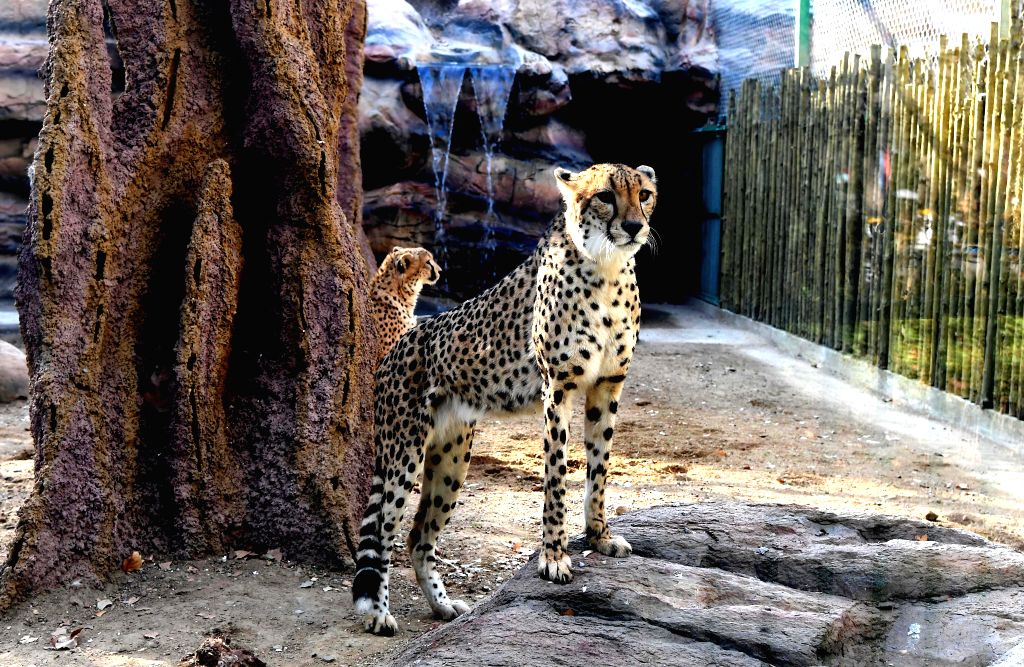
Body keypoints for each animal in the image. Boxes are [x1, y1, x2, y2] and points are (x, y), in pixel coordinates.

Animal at [353, 163, 657, 635]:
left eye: (644, 194)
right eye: (605, 196)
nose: (633, 226)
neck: (606, 267)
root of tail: (395, 351)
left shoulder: (608, 385)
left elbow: (600, 470)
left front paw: (600, 536)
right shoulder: (558, 387)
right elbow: (557, 477)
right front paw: (554, 557)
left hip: (452, 457)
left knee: (419, 535)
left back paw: (443, 607)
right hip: (402, 453)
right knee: (385, 530)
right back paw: (380, 613)